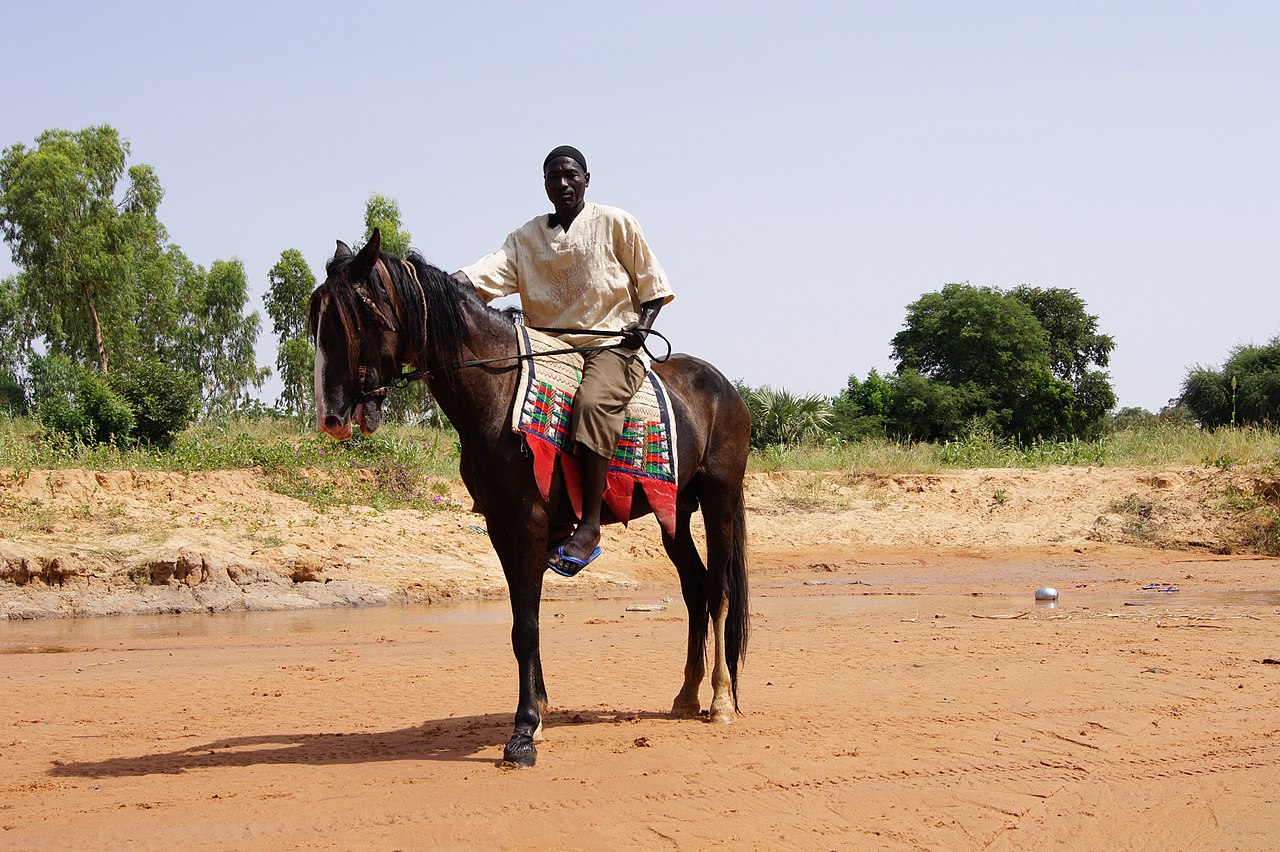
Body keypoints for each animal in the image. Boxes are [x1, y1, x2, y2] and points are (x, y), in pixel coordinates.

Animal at [310, 229, 751, 767]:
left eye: (357, 316)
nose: (331, 416)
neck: (497, 392)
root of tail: (726, 389)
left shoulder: (530, 522)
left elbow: (526, 627)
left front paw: (522, 732)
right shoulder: (501, 528)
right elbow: (524, 621)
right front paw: (536, 715)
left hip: (719, 501)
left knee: (719, 591)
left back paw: (720, 700)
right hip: (675, 513)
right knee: (695, 588)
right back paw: (687, 696)